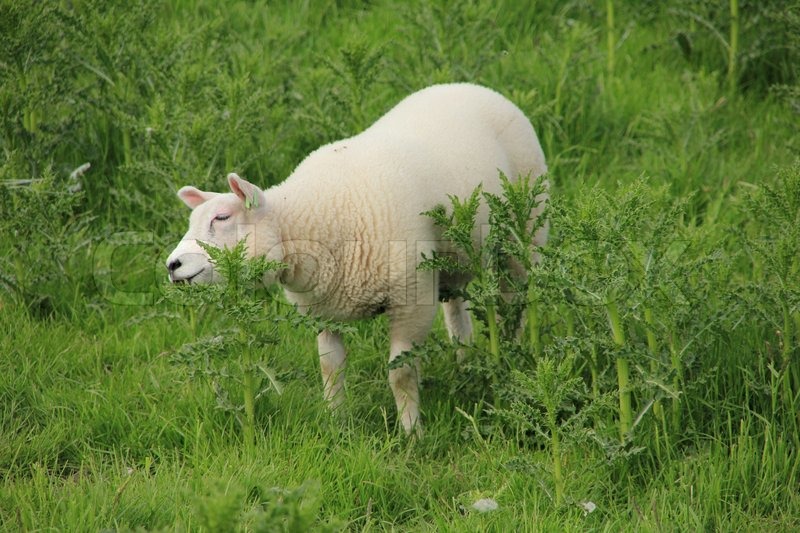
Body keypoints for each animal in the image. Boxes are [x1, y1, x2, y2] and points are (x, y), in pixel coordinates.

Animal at [166, 83, 548, 435]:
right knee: (456, 311)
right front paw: (337, 423)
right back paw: (466, 364)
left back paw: (511, 359)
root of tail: (471, 86)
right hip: (453, 263)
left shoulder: (411, 299)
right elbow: (330, 368)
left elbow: (401, 373)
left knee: (515, 305)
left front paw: (412, 434)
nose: (172, 266)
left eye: (222, 218)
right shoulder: (322, 308)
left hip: (526, 231)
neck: (306, 220)